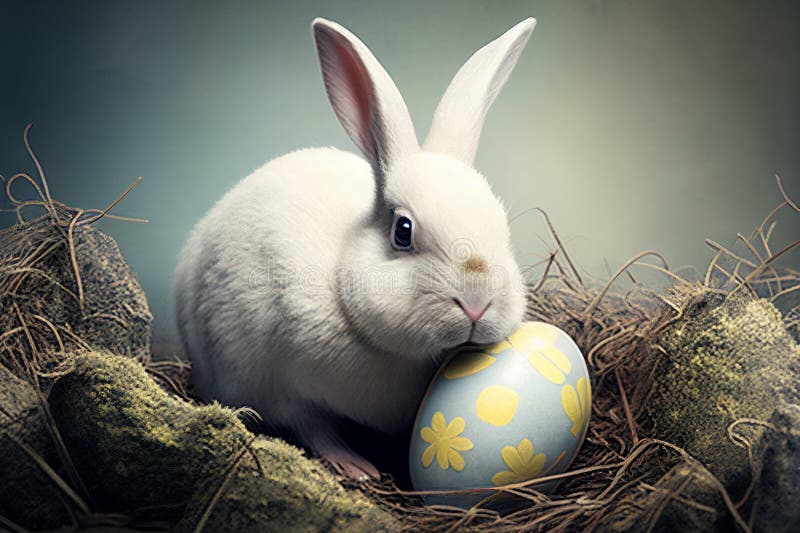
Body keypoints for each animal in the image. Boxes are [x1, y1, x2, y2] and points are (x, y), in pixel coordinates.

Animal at [175, 17, 536, 480]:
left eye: (502, 226)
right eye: (403, 230)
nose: (476, 304)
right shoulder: (272, 380)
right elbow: (312, 426)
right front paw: (355, 467)